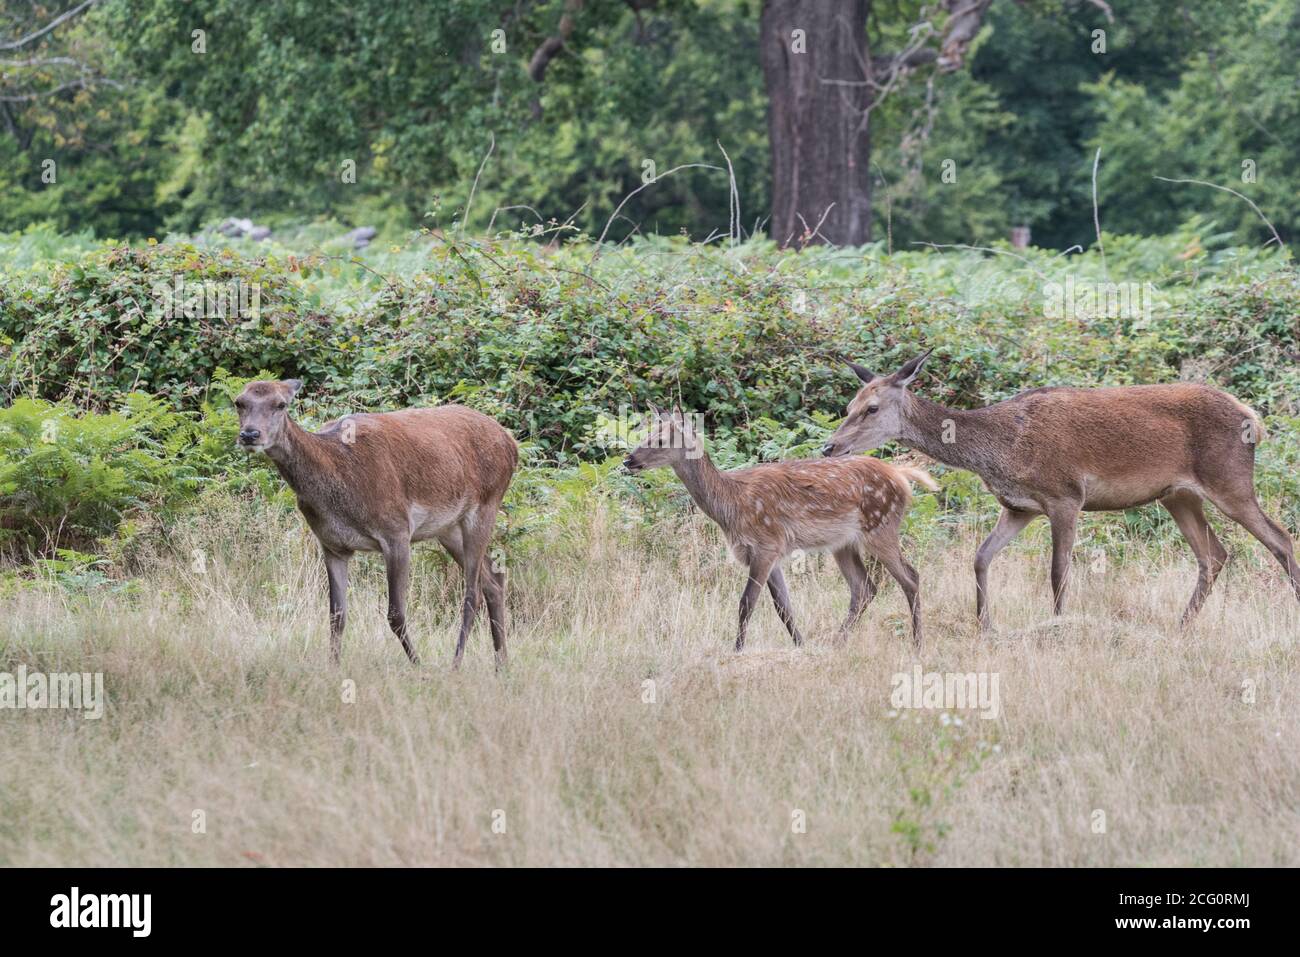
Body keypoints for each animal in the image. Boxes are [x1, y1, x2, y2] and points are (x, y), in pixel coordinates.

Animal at [234, 379, 518, 669]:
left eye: (281, 404)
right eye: (239, 402)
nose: (250, 434)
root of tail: (511, 443)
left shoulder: (396, 531)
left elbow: (395, 614)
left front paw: (418, 665)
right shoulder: (332, 545)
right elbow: (336, 615)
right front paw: (333, 667)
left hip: (485, 506)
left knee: (472, 594)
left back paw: (456, 665)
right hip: (448, 528)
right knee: (494, 579)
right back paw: (502, 666)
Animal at [622, 408, 937, 649]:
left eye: (660, 440)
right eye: (645, 435)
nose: (628, 460)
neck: (730, 505)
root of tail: (901, 475)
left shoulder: (765, 544)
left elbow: (746, 603)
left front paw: (737, 649)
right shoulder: (770, 552)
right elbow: (783, 607)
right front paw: (800, 645)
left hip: (881, 525)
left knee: (910, 577)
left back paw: (917, 643)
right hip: (843, 543)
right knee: (864, 588)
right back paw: (838, 641)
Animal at [822, 350, 1300, 630]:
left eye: (872, 408)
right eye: (847, 406)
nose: (830, 446)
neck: (1001, 451)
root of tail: (1251, 416)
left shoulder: (1066, 495)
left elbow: (1057, 571)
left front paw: (1056, 626)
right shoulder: (1019, 507)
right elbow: (980, 557)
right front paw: (985, 626)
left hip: (1229, 480)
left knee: (1280, 538)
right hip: (1178, 495)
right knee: (1214, 555)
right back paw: (1182, 626)